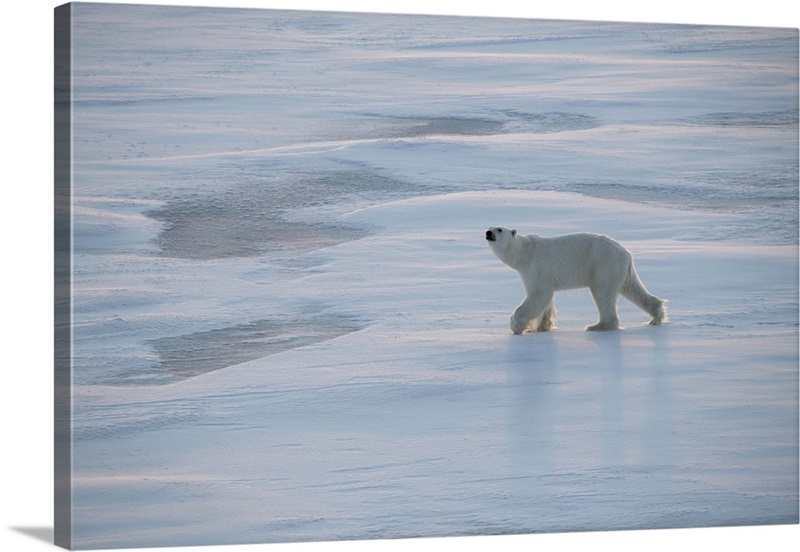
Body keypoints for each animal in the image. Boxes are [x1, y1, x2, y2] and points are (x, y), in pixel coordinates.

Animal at [485, 227, 667, 334]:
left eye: (499, 229)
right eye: (490, 228)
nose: (488, 233)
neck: (524, 252)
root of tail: (627, 253)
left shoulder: (536, 267)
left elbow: (538, 296)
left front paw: (517, 326)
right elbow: (546, 301)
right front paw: (542, 327)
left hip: (603, 265)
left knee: (603, 293)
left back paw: (596, 326)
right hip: (622, 270)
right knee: (632, 288)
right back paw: (655, 316)